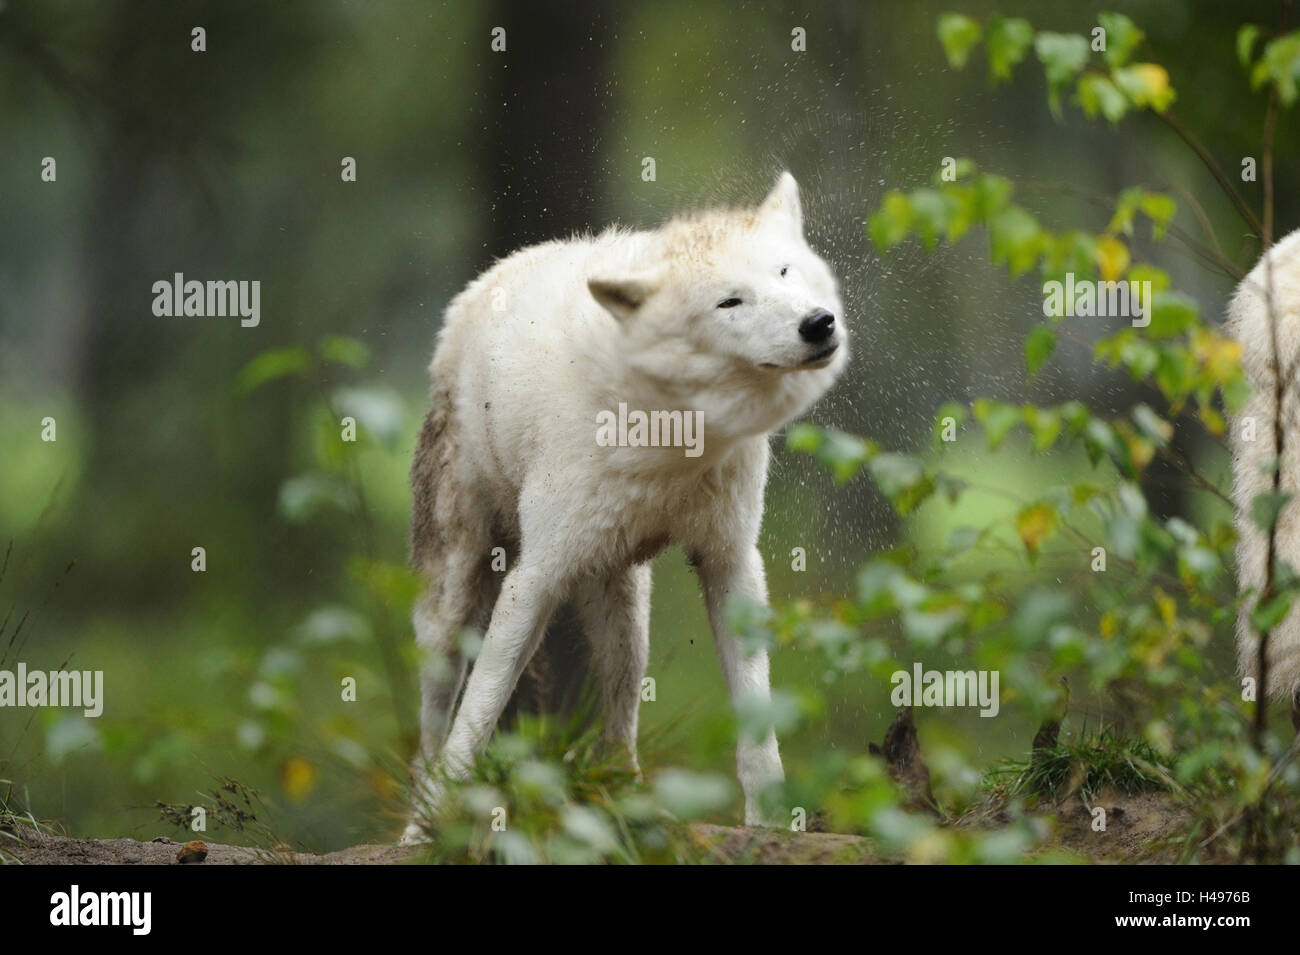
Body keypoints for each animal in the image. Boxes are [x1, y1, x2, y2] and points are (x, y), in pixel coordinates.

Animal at [401, 172, 847, 843]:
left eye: (785, 272)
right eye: (730, 303)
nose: (818, 323)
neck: (675, 437)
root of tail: (484, 282)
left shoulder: (731, 560)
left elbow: (756, 714)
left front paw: (771, 825)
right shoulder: (537, 574)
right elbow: (479, 709)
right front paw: (436, 827)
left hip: (626, 604)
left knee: (620, 712)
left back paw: (627, 798)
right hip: (455, 600)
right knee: (433, 724)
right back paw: (415, 821)